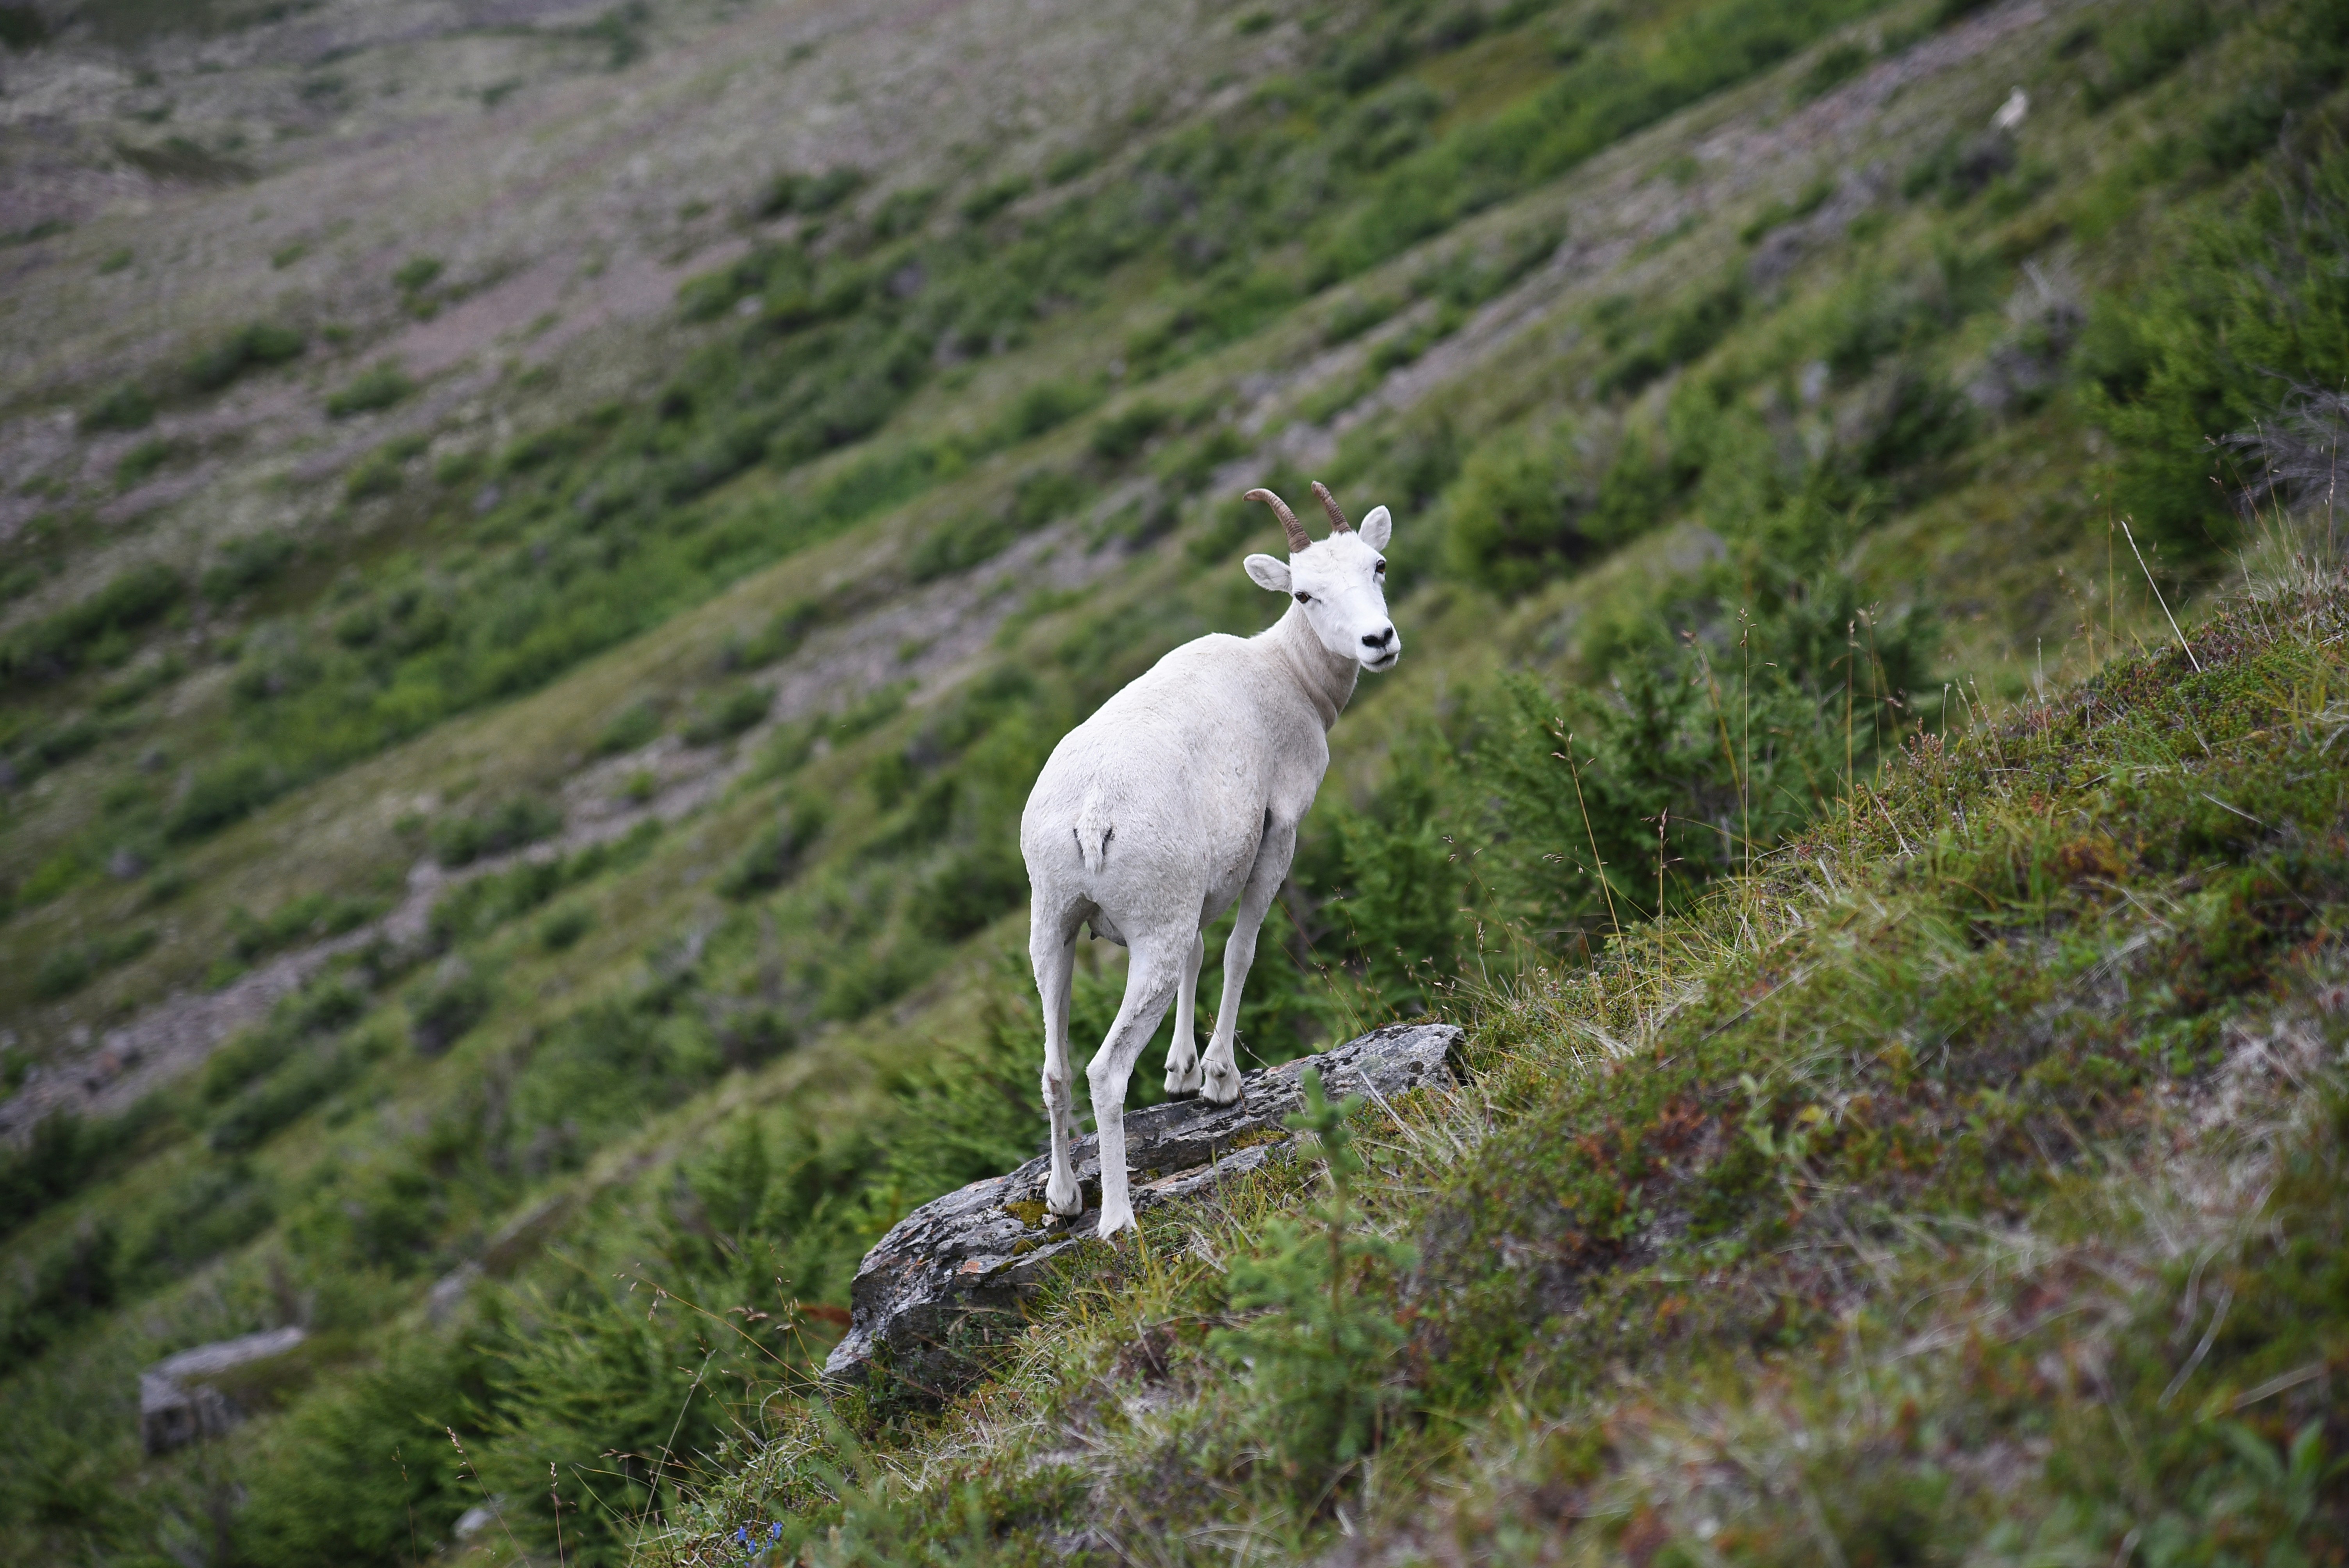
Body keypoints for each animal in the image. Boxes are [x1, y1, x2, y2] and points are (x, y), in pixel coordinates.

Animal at [1020, 482, 1400, 1237]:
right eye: (1305, 593)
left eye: (1375, 566)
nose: (1379, 642)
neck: (1287, 677)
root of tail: (1090, 816)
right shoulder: (1277, 834)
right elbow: (1238, 952)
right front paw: (1220, 1081)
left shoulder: (1195, 893)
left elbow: (1204, 952)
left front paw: (1182, 1074)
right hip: (1149, 941)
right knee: (1104, 1071)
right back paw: (1117, 1221)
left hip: (1053, 931)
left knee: (1054, 1069)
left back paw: (1063, 1198)